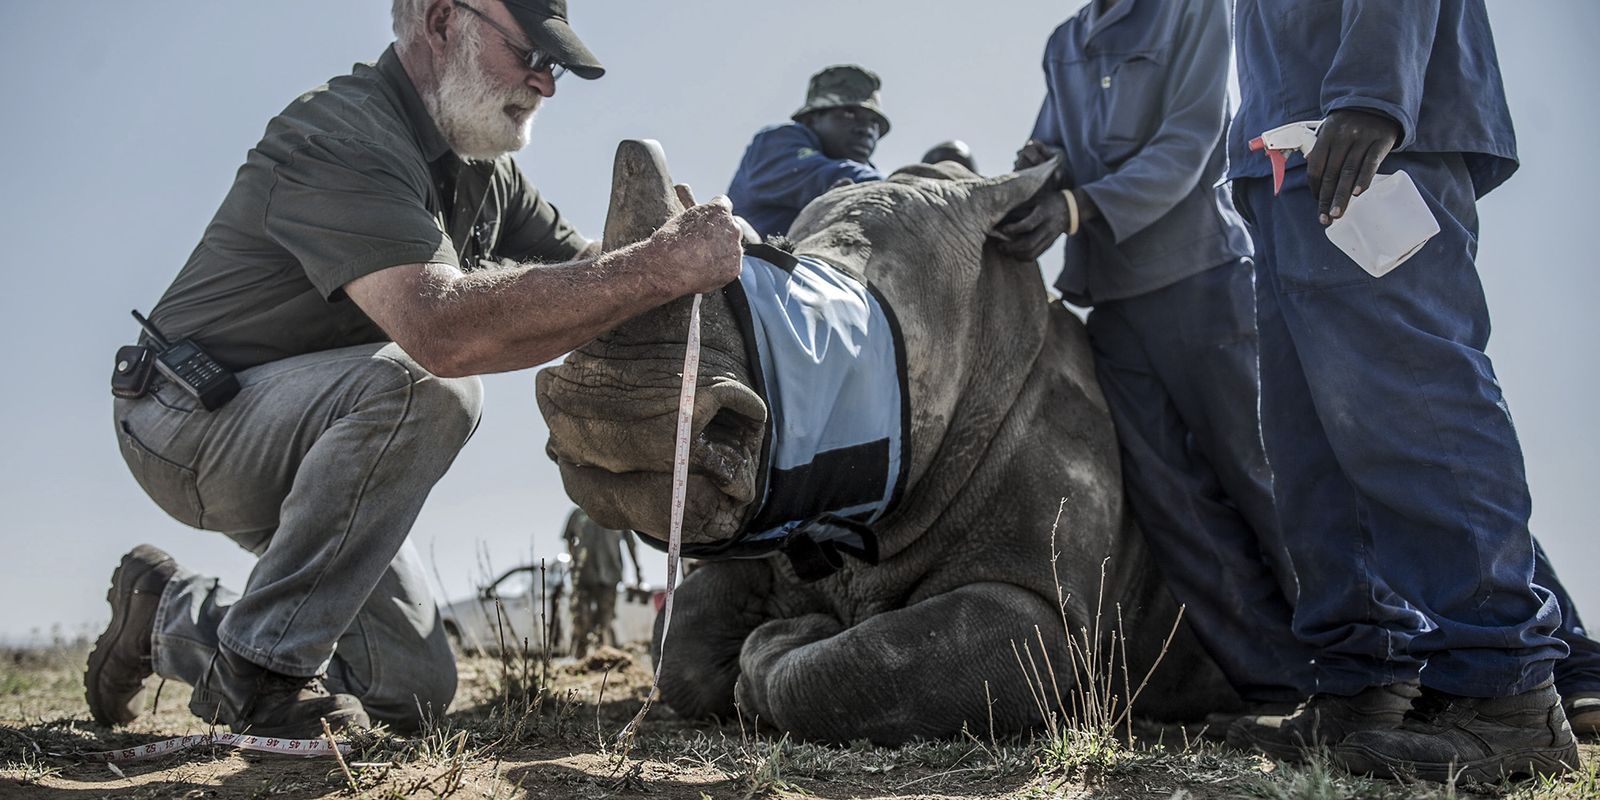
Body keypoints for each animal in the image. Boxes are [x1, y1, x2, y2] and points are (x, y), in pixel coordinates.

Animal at [536, 140, 1235, 744]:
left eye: (839, 338)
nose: (617, 417)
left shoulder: (1047, 610)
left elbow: (862, 666)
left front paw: (780, 644)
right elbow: (677, 635)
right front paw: (773, 632)